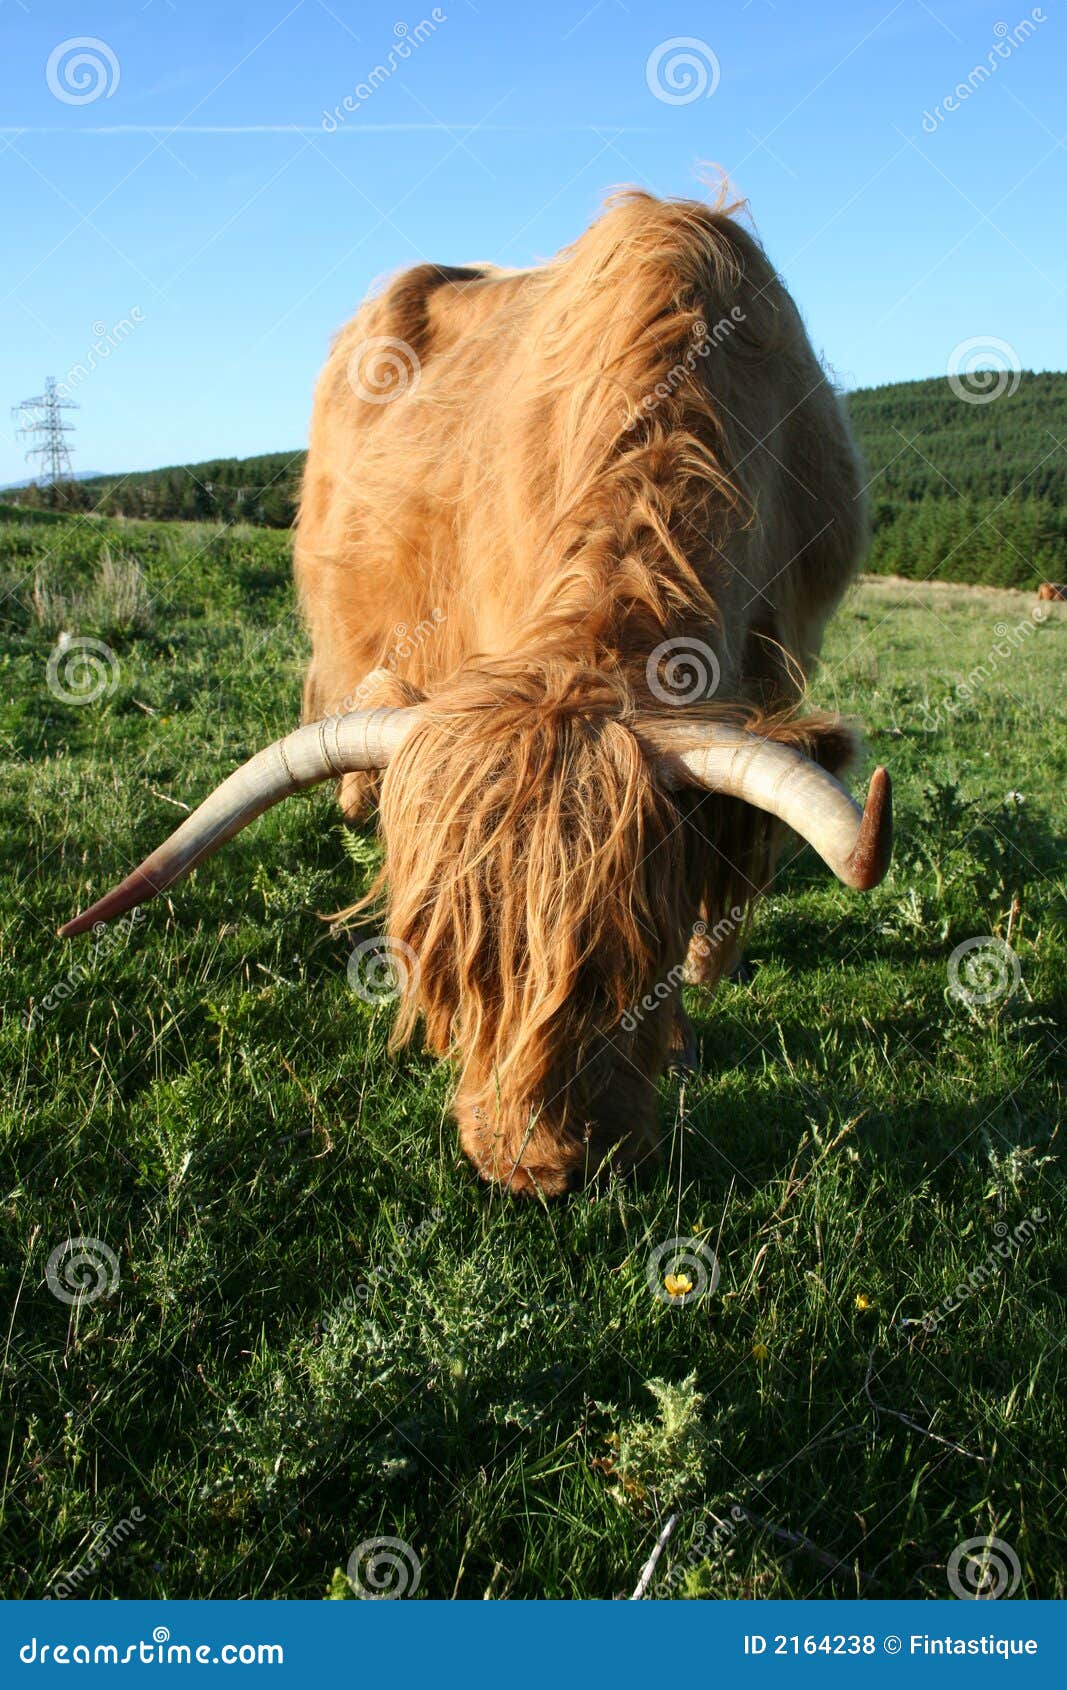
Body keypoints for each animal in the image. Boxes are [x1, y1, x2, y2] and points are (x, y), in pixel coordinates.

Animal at [60, 190, 892, 1197]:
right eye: (440, 970)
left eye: (622, 966)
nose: (528, 1166)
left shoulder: (780, 659)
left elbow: (737, 863)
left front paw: (697, 994)